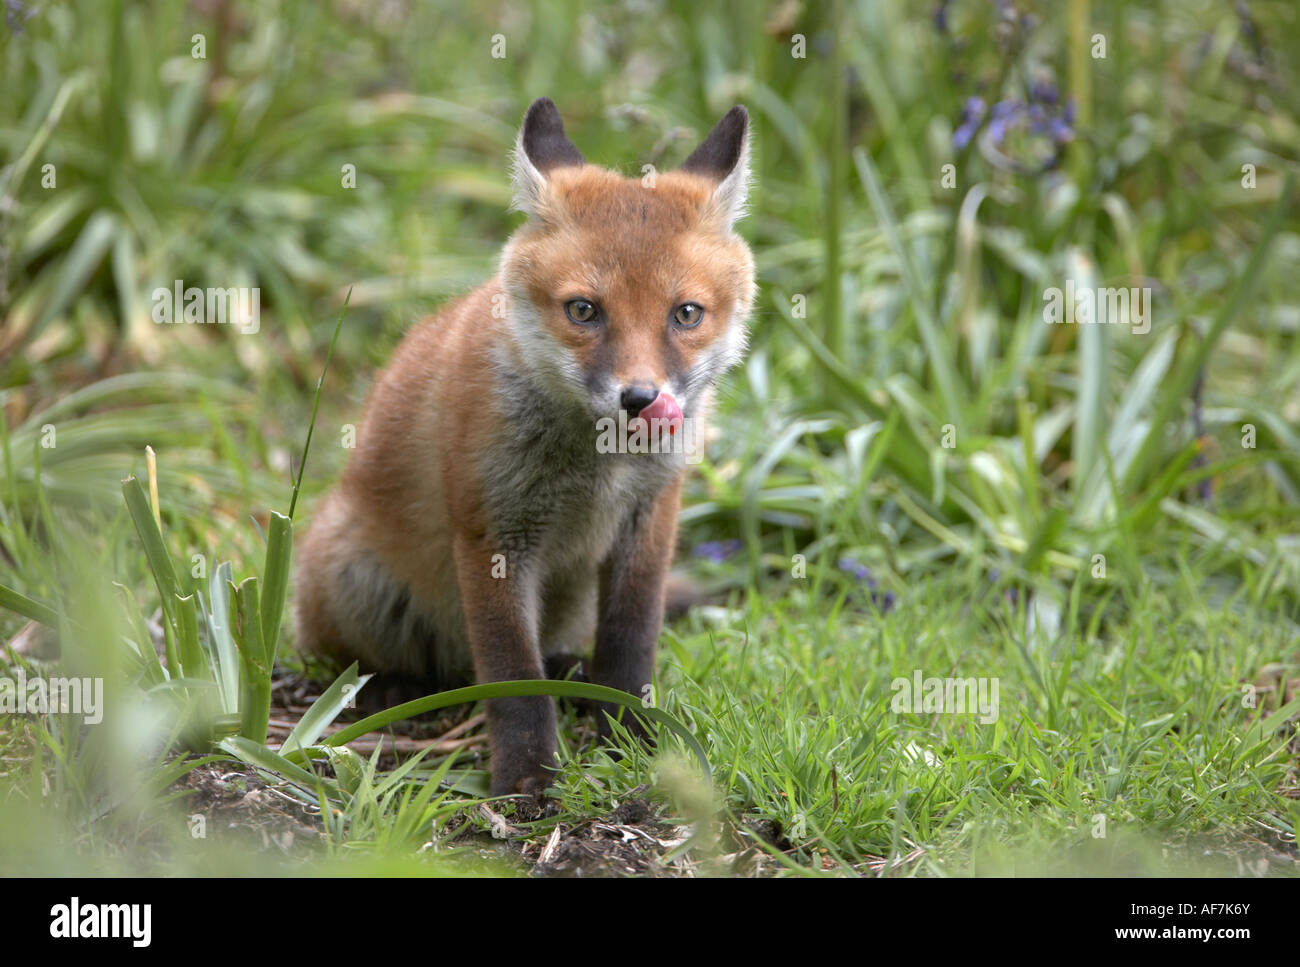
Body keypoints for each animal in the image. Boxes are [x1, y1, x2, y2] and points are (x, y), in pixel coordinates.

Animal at [294, 98, 755, 798]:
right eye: (584, 311)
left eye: (686, 314)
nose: (641, 398)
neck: (599, 467)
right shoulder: (492, 533)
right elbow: (512, 673)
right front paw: (528, 779)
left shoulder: (650, 519)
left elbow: (631, 644)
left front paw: (634, 740)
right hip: (351, 575)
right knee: (368, 659)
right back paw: (389, 687)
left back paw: (570, 671)